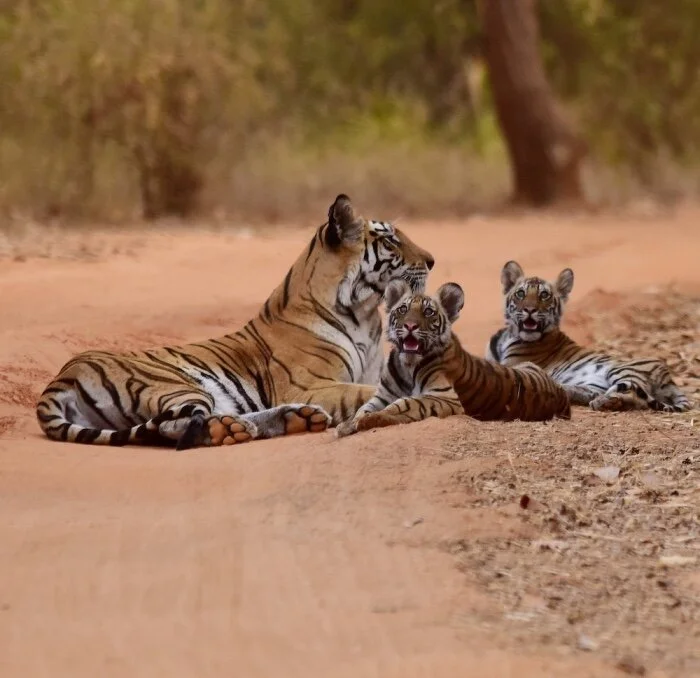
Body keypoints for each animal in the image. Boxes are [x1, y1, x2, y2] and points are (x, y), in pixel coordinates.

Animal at [36, 194, 435, 449]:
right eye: (391, 241)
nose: (432, 260)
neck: (365, 313)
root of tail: (62, 376)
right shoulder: (311, 385)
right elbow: (366, 393)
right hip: (174, 385)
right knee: (175, 426)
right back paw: (235, 429)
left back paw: (296, 420)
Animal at [336, 279, 571, 436]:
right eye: (402, 309)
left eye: (428, 312)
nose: (410, 325)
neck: (407, 365)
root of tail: (561, 394)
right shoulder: (383, 395)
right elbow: (363, 408)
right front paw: (349, 424)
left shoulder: (445, 397)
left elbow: (406, 403)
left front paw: (370, 420)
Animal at [486, 260, 692, 413]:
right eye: (520, 293)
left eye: (544, 295)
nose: (530, 309)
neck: (508, 336)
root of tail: (669, 377)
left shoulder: (513, 365)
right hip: (594, 384)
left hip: (622, 370)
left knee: (632, 396)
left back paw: (602, 402)